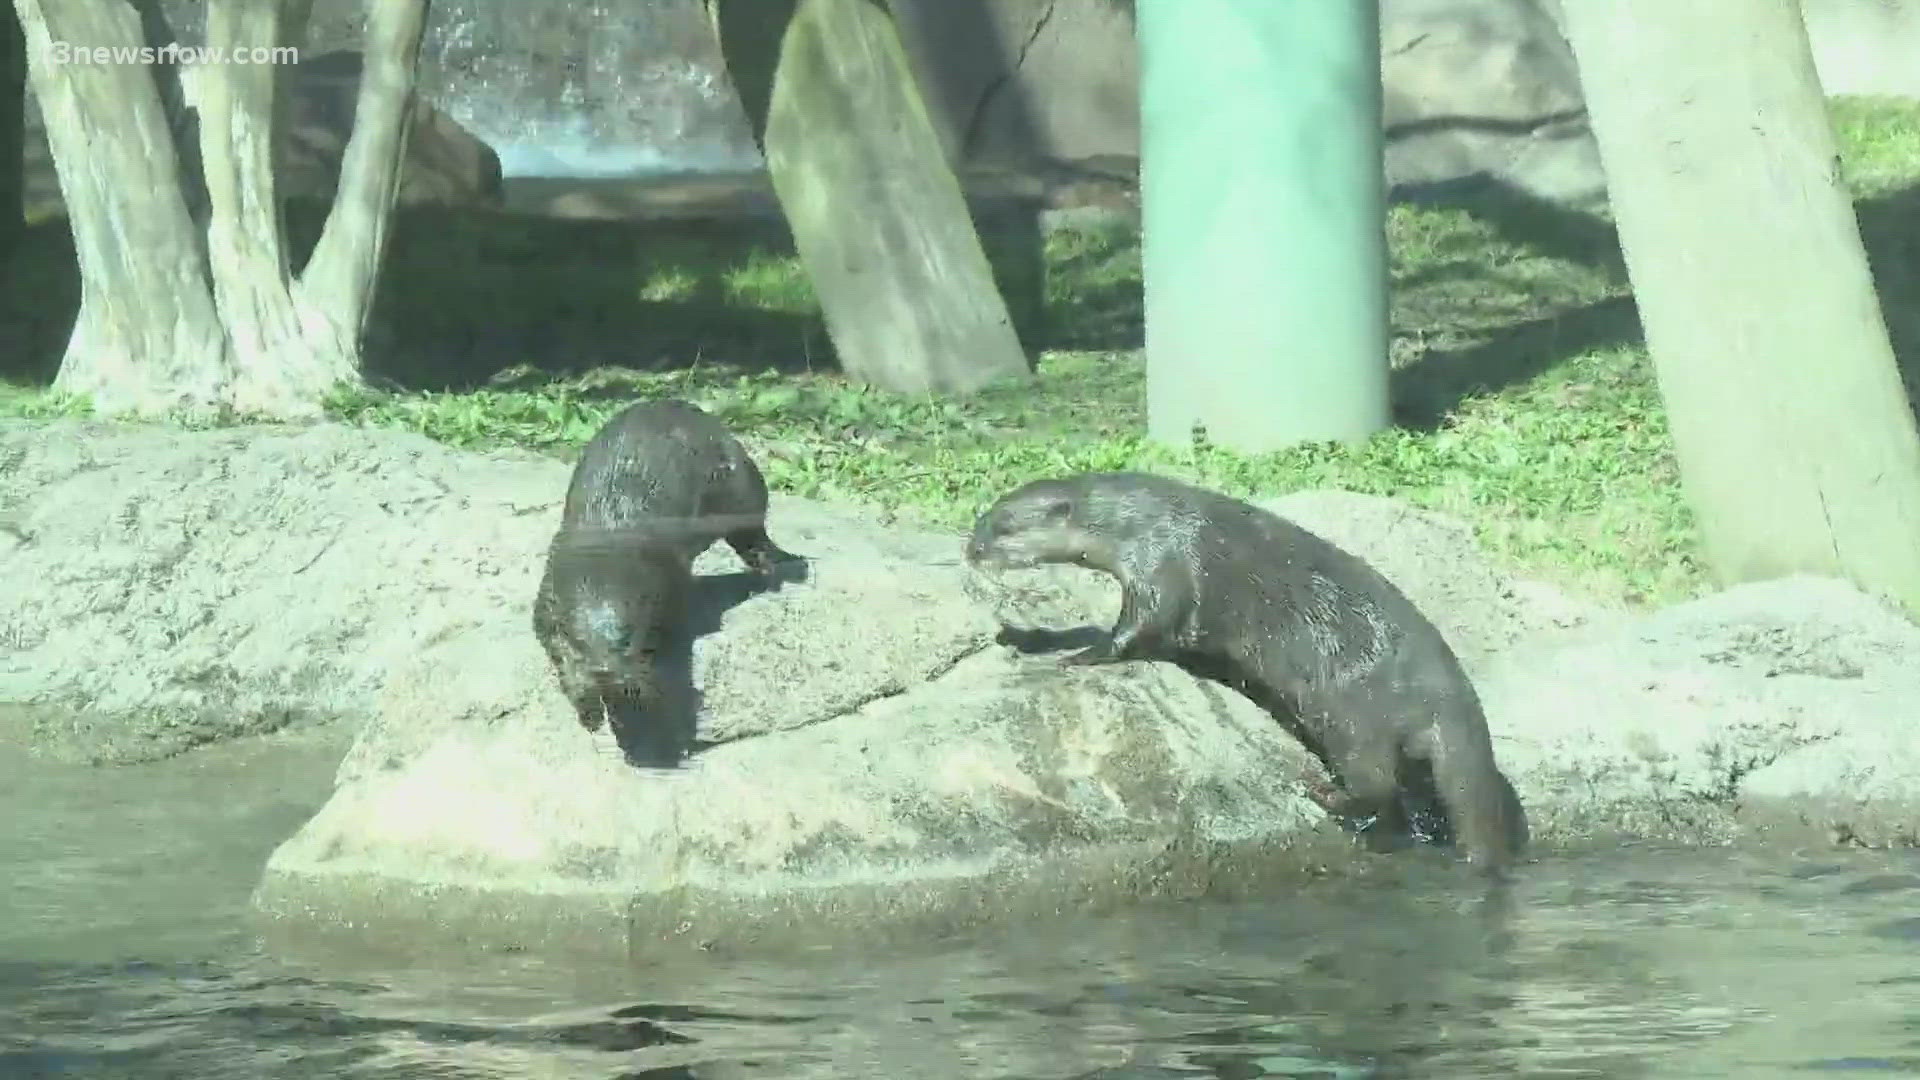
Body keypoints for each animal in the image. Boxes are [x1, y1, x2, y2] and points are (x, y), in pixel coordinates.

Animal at [533, 399, 799, 768]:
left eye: (626, 639)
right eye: (581, 641)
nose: (605, 674)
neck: (607, 539)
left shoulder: (670, 574)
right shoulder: (548, 602)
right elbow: (556, 650)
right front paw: (587, 706)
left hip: (743, 485)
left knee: (752, 532)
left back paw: (774, 568)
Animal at [965, 471, 1528, 876]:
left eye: (1005, 525)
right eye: (983, 516)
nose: (972, 550)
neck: (1136, 522)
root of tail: (1451, 701)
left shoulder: (1159, 565)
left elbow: (1142, 627)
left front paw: (1081, 653)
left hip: (1355, 718)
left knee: (1377, 788)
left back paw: (1322, 793)